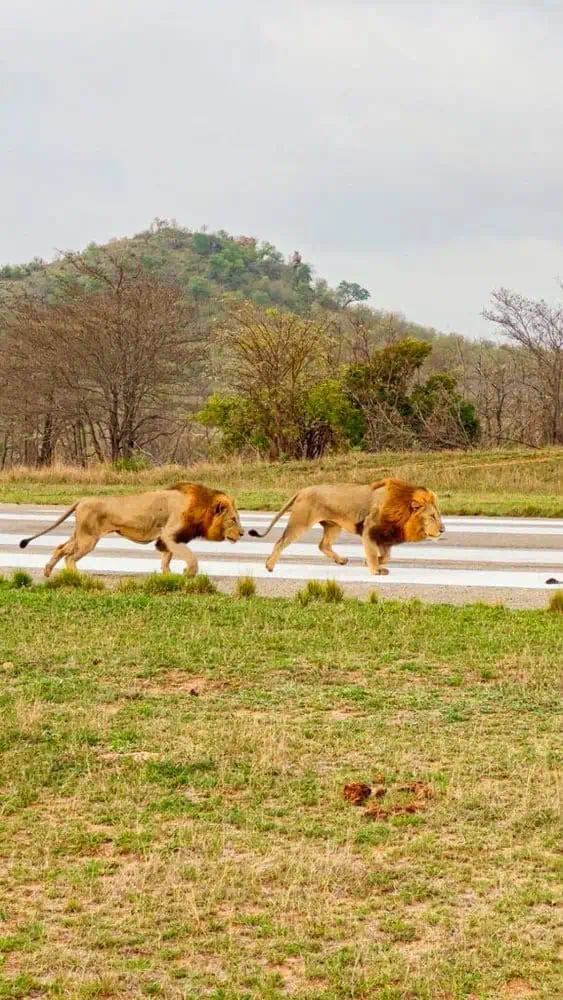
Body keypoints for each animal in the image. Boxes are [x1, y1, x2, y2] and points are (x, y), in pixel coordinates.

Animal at [19, 482, 244, 578]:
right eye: (233, 519)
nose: (242, 533)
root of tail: (82, 500)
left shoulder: (167, 538)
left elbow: (167, 558)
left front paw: (168, 575)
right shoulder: (169, 534)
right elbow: (190, 557)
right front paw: (188, 573)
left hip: (81, 535)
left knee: (60, 548)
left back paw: (48, 572)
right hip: (88, 539)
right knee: (70, 557)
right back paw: (78, 577)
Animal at [249, 478, 444, 575]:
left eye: (438, 515)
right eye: (432, 516)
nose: (443, 530)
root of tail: (302, 490)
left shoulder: (384, 536)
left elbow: (386, 556)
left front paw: (370, 562)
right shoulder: (369, 529)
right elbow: (373, 552)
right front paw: (375, 569)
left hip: (334, 526)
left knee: (323, 545)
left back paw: (341, 560)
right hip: (300, 522)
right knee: (280, 541)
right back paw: (269, 566)